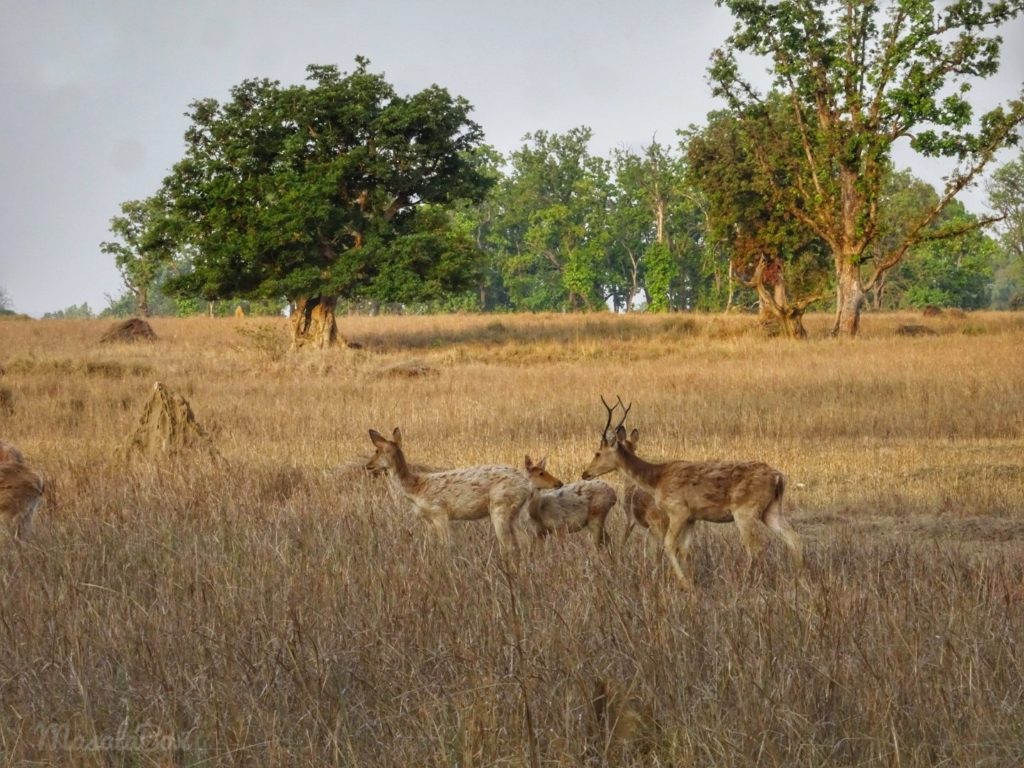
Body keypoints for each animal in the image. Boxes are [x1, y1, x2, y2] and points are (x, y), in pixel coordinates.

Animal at [366, 428, 531, 555]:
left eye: (378, 450)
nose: (368, 465)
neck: (415, 489)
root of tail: (526, 484)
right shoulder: (428, 520)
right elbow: (431, 545)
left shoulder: (438, 511)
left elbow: (445, 544)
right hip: (514, 512)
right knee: (524, 541)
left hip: (500, 505)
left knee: (508, 545)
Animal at [581, 397, 803, 588]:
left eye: (597, 453)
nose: (585, 473)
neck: (657, 480)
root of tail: (779, 478)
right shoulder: (692, 517)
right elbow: (685, 550)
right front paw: (690, 581)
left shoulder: (678, 510)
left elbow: (669, 545)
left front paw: (684, 584)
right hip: (771, 509)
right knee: (793, 538)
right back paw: (798, 580)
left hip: (745, 510)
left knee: (755, 547)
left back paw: (748, 583)